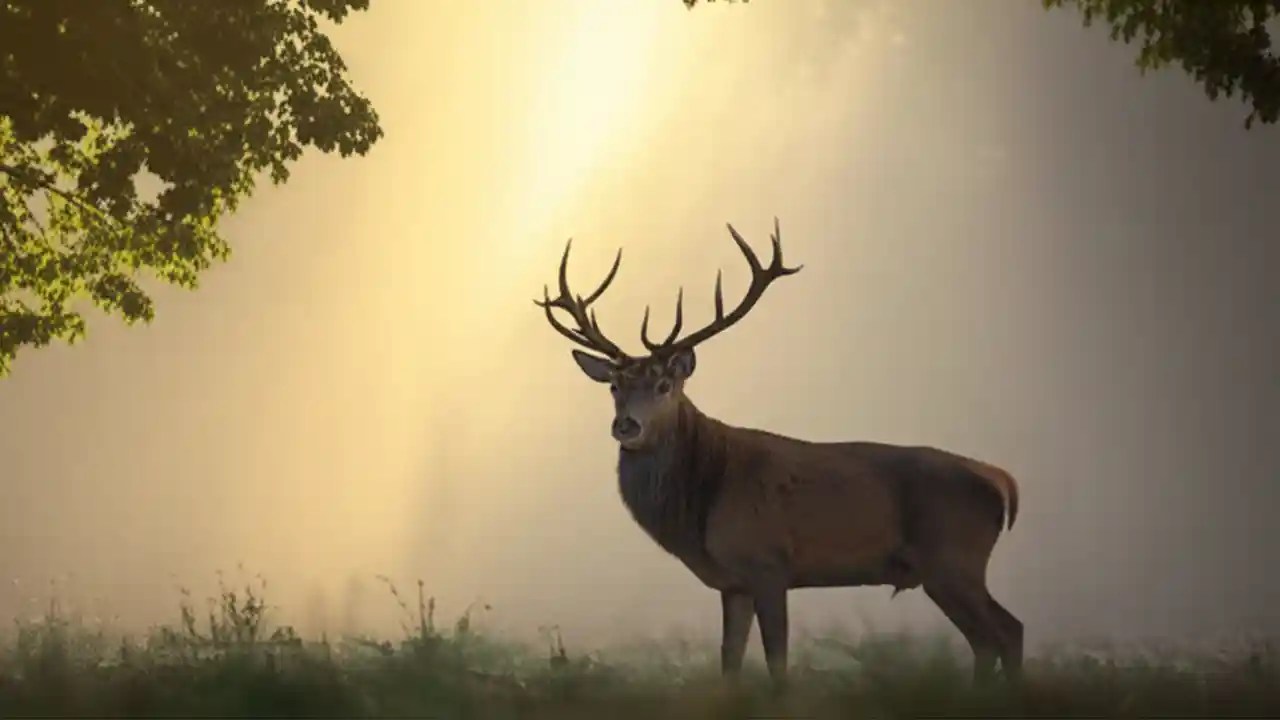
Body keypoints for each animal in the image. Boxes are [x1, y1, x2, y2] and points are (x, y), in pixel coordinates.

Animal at [533, 219, 1023, 691]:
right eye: (614, 386)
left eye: (664, 385)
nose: (627, 426)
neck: (703, 506)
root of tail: (1003, 481)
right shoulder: (733, 583)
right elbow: (729, 661)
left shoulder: (770, 563)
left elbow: (776, 662)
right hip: (946, 570)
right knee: (989, 638)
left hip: (954, 557)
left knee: (1007, 630)